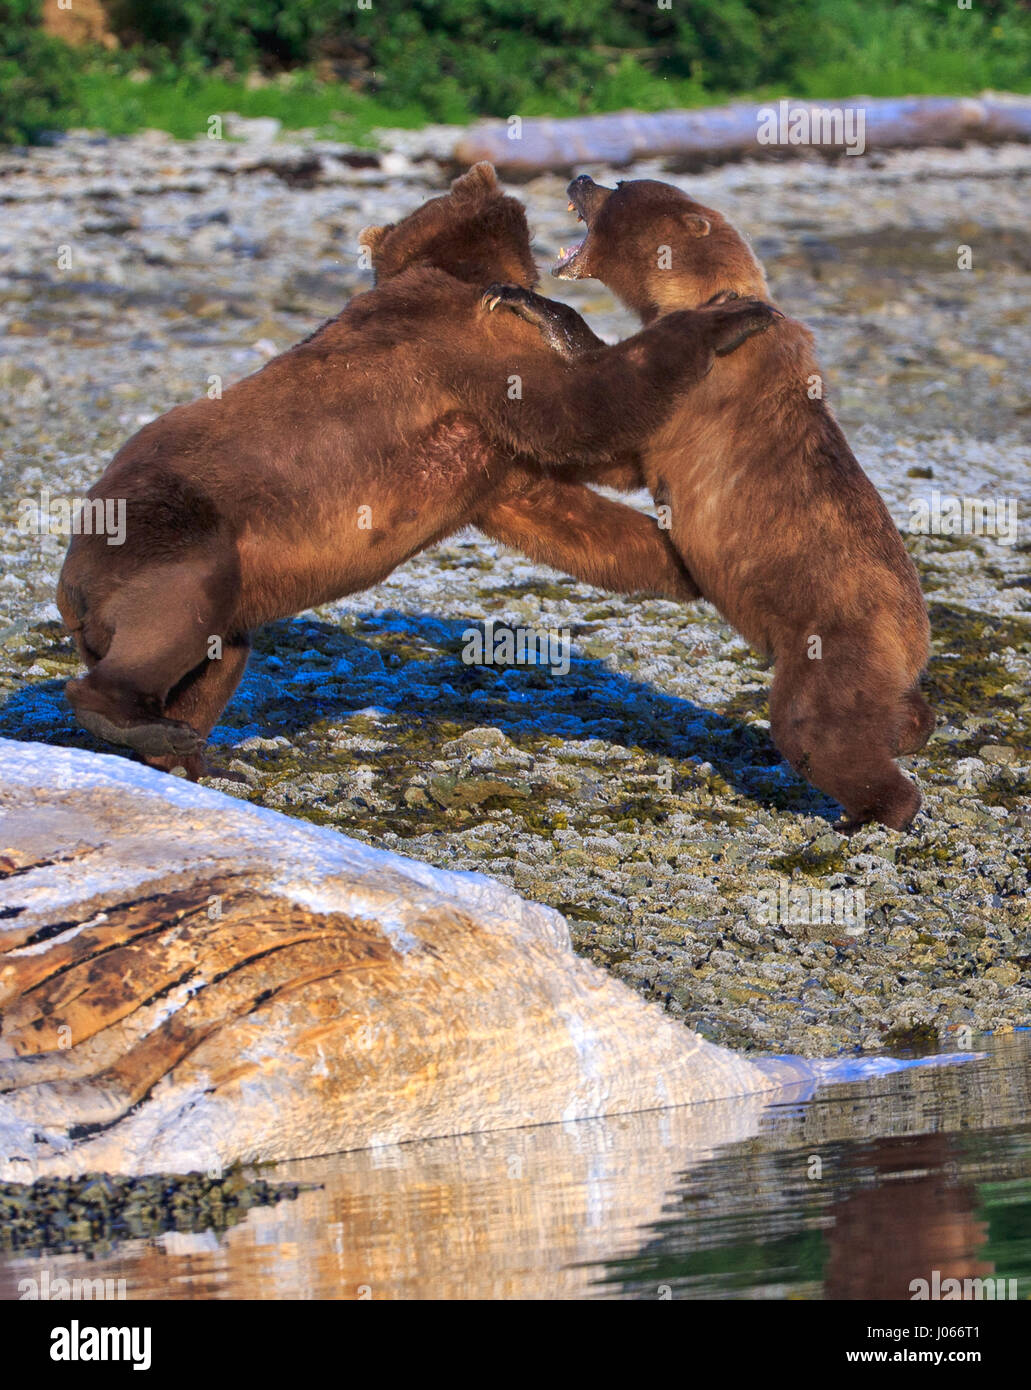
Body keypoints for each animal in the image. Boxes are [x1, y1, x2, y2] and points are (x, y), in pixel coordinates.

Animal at [56, 163, 779, 779]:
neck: (463, 274)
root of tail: (69, 585)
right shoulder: (464, 351)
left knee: (217, 659)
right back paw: (136, 722)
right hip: (171, 527)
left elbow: (564, 511)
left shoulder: (491, 466)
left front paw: (685, 563)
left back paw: (190, 755)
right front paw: (728, 314)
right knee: (173, 611)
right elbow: (584, 409)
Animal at [490, 174, 934, 831]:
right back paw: (906, 737)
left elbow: (612, 426)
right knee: (891, 717)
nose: (582, 178)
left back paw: (867, 816)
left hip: (833, 644)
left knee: (814, 730)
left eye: (620, 187)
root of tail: (916, 640)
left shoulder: (702, 395)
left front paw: (519, 298)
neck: (696, 295)